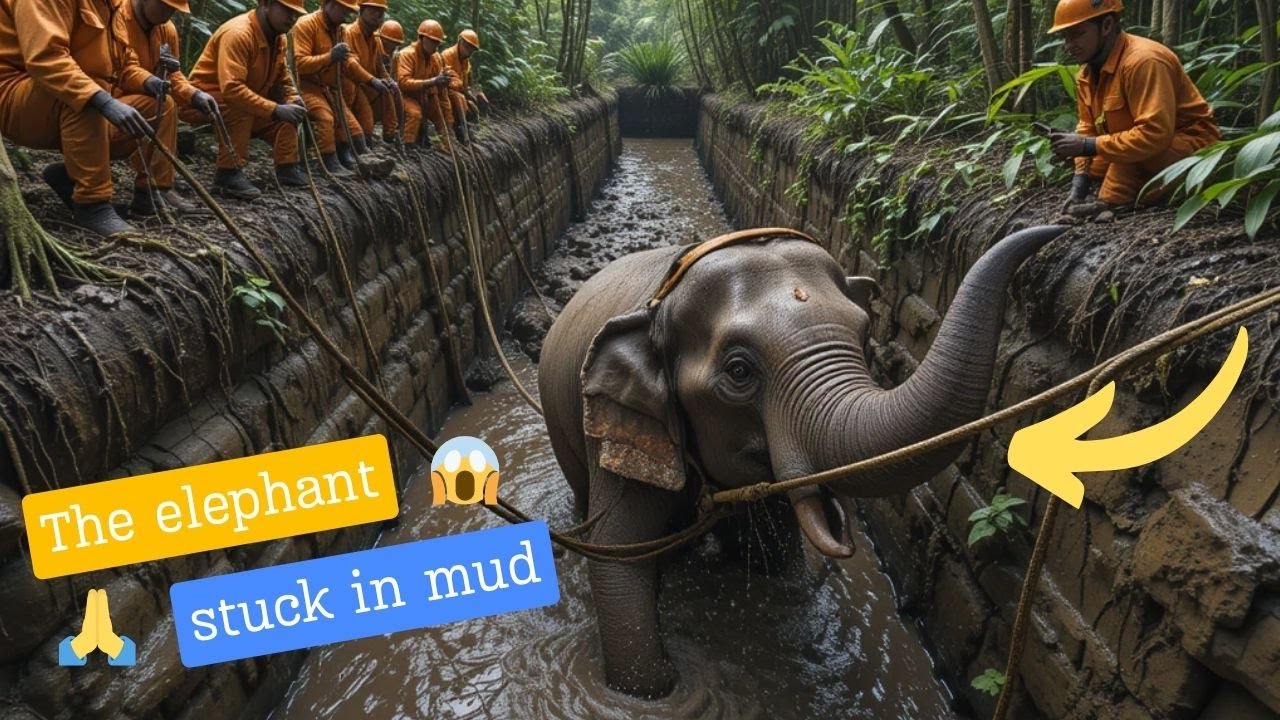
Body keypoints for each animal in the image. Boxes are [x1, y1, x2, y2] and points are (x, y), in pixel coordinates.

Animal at [537, 224, 1067, 698]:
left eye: (866, 334)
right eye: (738, 370)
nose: (1060, 229)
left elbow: (776, 557)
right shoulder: (622, 433)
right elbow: (618, 561)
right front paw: (660, 688)